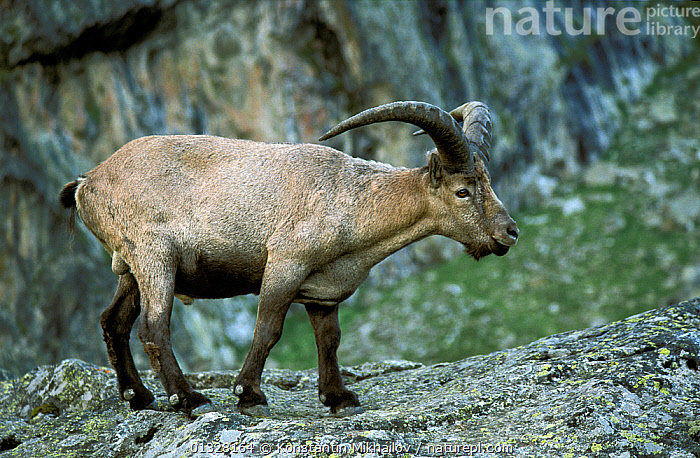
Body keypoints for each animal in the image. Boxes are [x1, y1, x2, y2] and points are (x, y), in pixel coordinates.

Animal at [60, 101, 518, 417]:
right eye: (463, 191)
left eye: (489, 182)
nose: (509, 232)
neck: (350, 199)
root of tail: (88, 182)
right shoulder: (285, 263)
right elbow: (269, 329)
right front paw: (249, 395)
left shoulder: (324, 290)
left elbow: (330, 339)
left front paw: (338, 398)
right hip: (155, 257)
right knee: (153, 327)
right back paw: (188, 399)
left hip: (129, 266)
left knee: (114, 320)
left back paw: (137, 396)